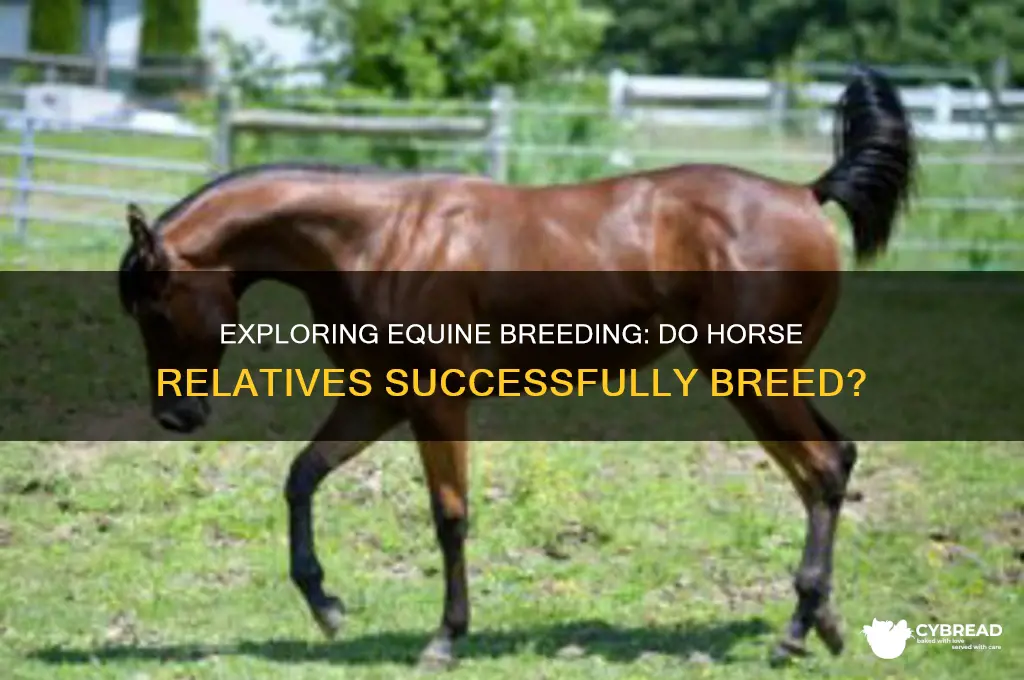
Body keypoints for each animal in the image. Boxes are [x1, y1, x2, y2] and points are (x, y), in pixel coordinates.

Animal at [117, 66, 915, 669]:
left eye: (154, 306)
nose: (176, 415)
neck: (378, 238)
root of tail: (804, 194)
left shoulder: (436, 402)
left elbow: (450, 515)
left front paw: (444, 639)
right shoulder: (377, 397)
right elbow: (303, 475)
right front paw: (328, 607)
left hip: (753, 376)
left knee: (821, 469)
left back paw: (795, 632)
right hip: (760, 380)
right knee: (828, 466)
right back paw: (824, 622)